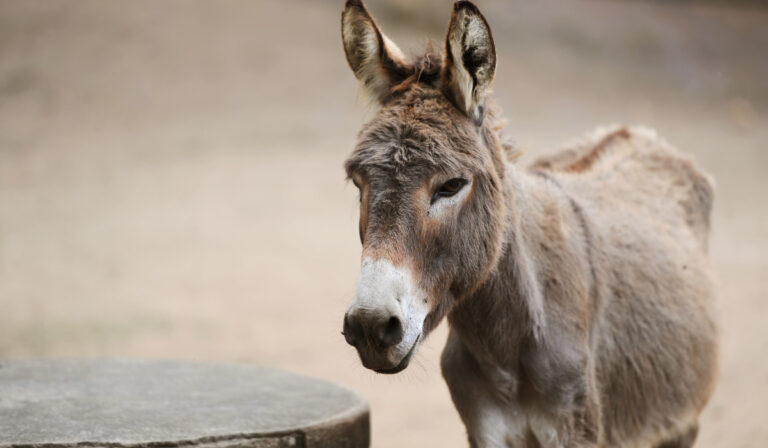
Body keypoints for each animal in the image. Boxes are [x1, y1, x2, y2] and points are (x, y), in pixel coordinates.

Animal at [339, 1, 718, 446]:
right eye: (357, 181)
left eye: (451, 185)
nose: (370, 326)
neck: (503, 348)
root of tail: (637, 130)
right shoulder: (485, 429)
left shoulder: (576, 428)